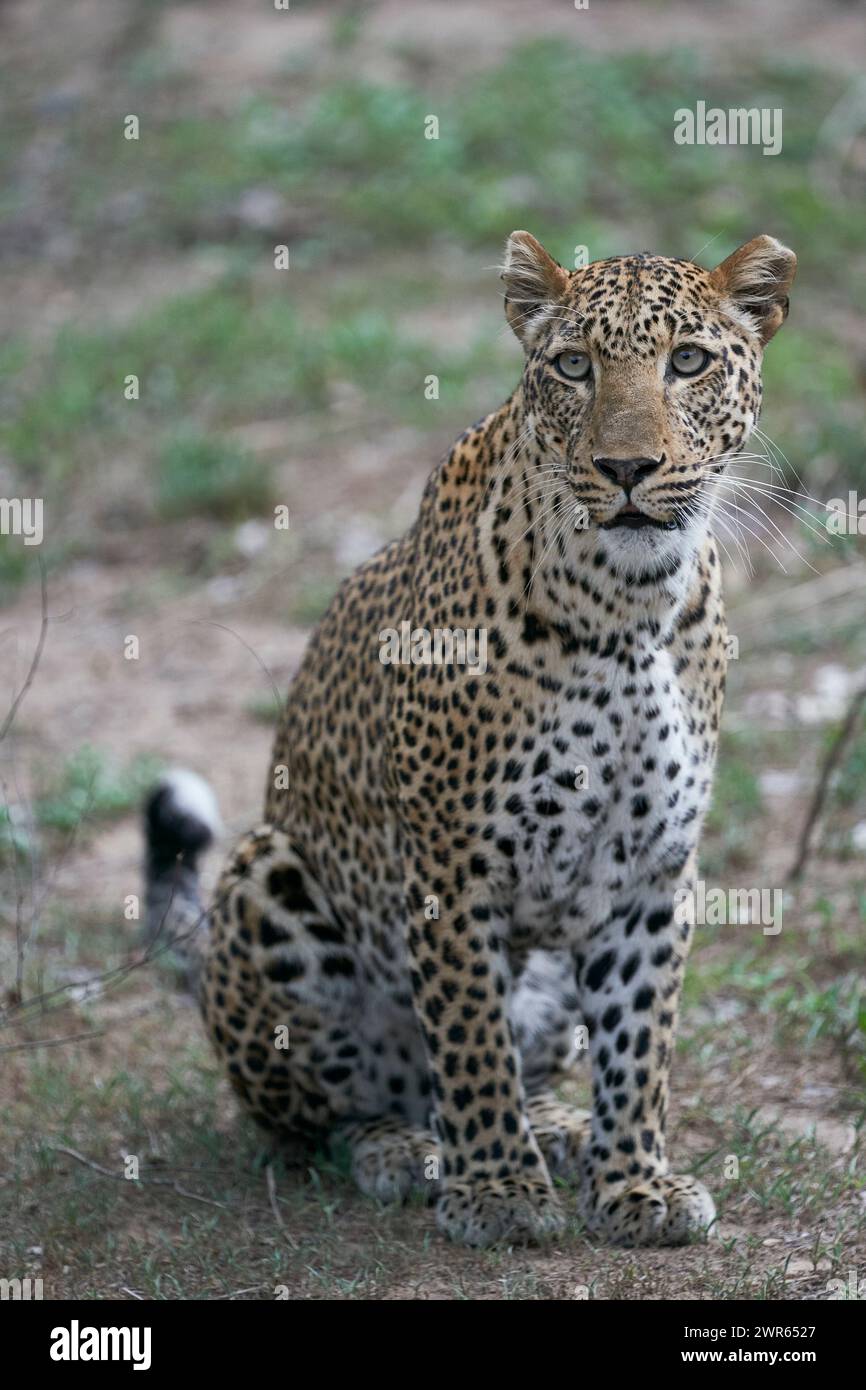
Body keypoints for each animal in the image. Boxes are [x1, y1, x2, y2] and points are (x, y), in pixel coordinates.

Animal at [144, 230, 796, 1248]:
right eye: (574, 366)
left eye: (688, 362)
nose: (627, 469)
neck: (631, 607)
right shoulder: (453, 864)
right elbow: (471, 1035)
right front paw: (496, 1191)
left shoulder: (653, 871)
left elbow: (639, 1044)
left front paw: (635, 1183)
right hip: (268, 877)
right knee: (322, 1114)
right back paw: (406, 1147)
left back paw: (558, 1128)